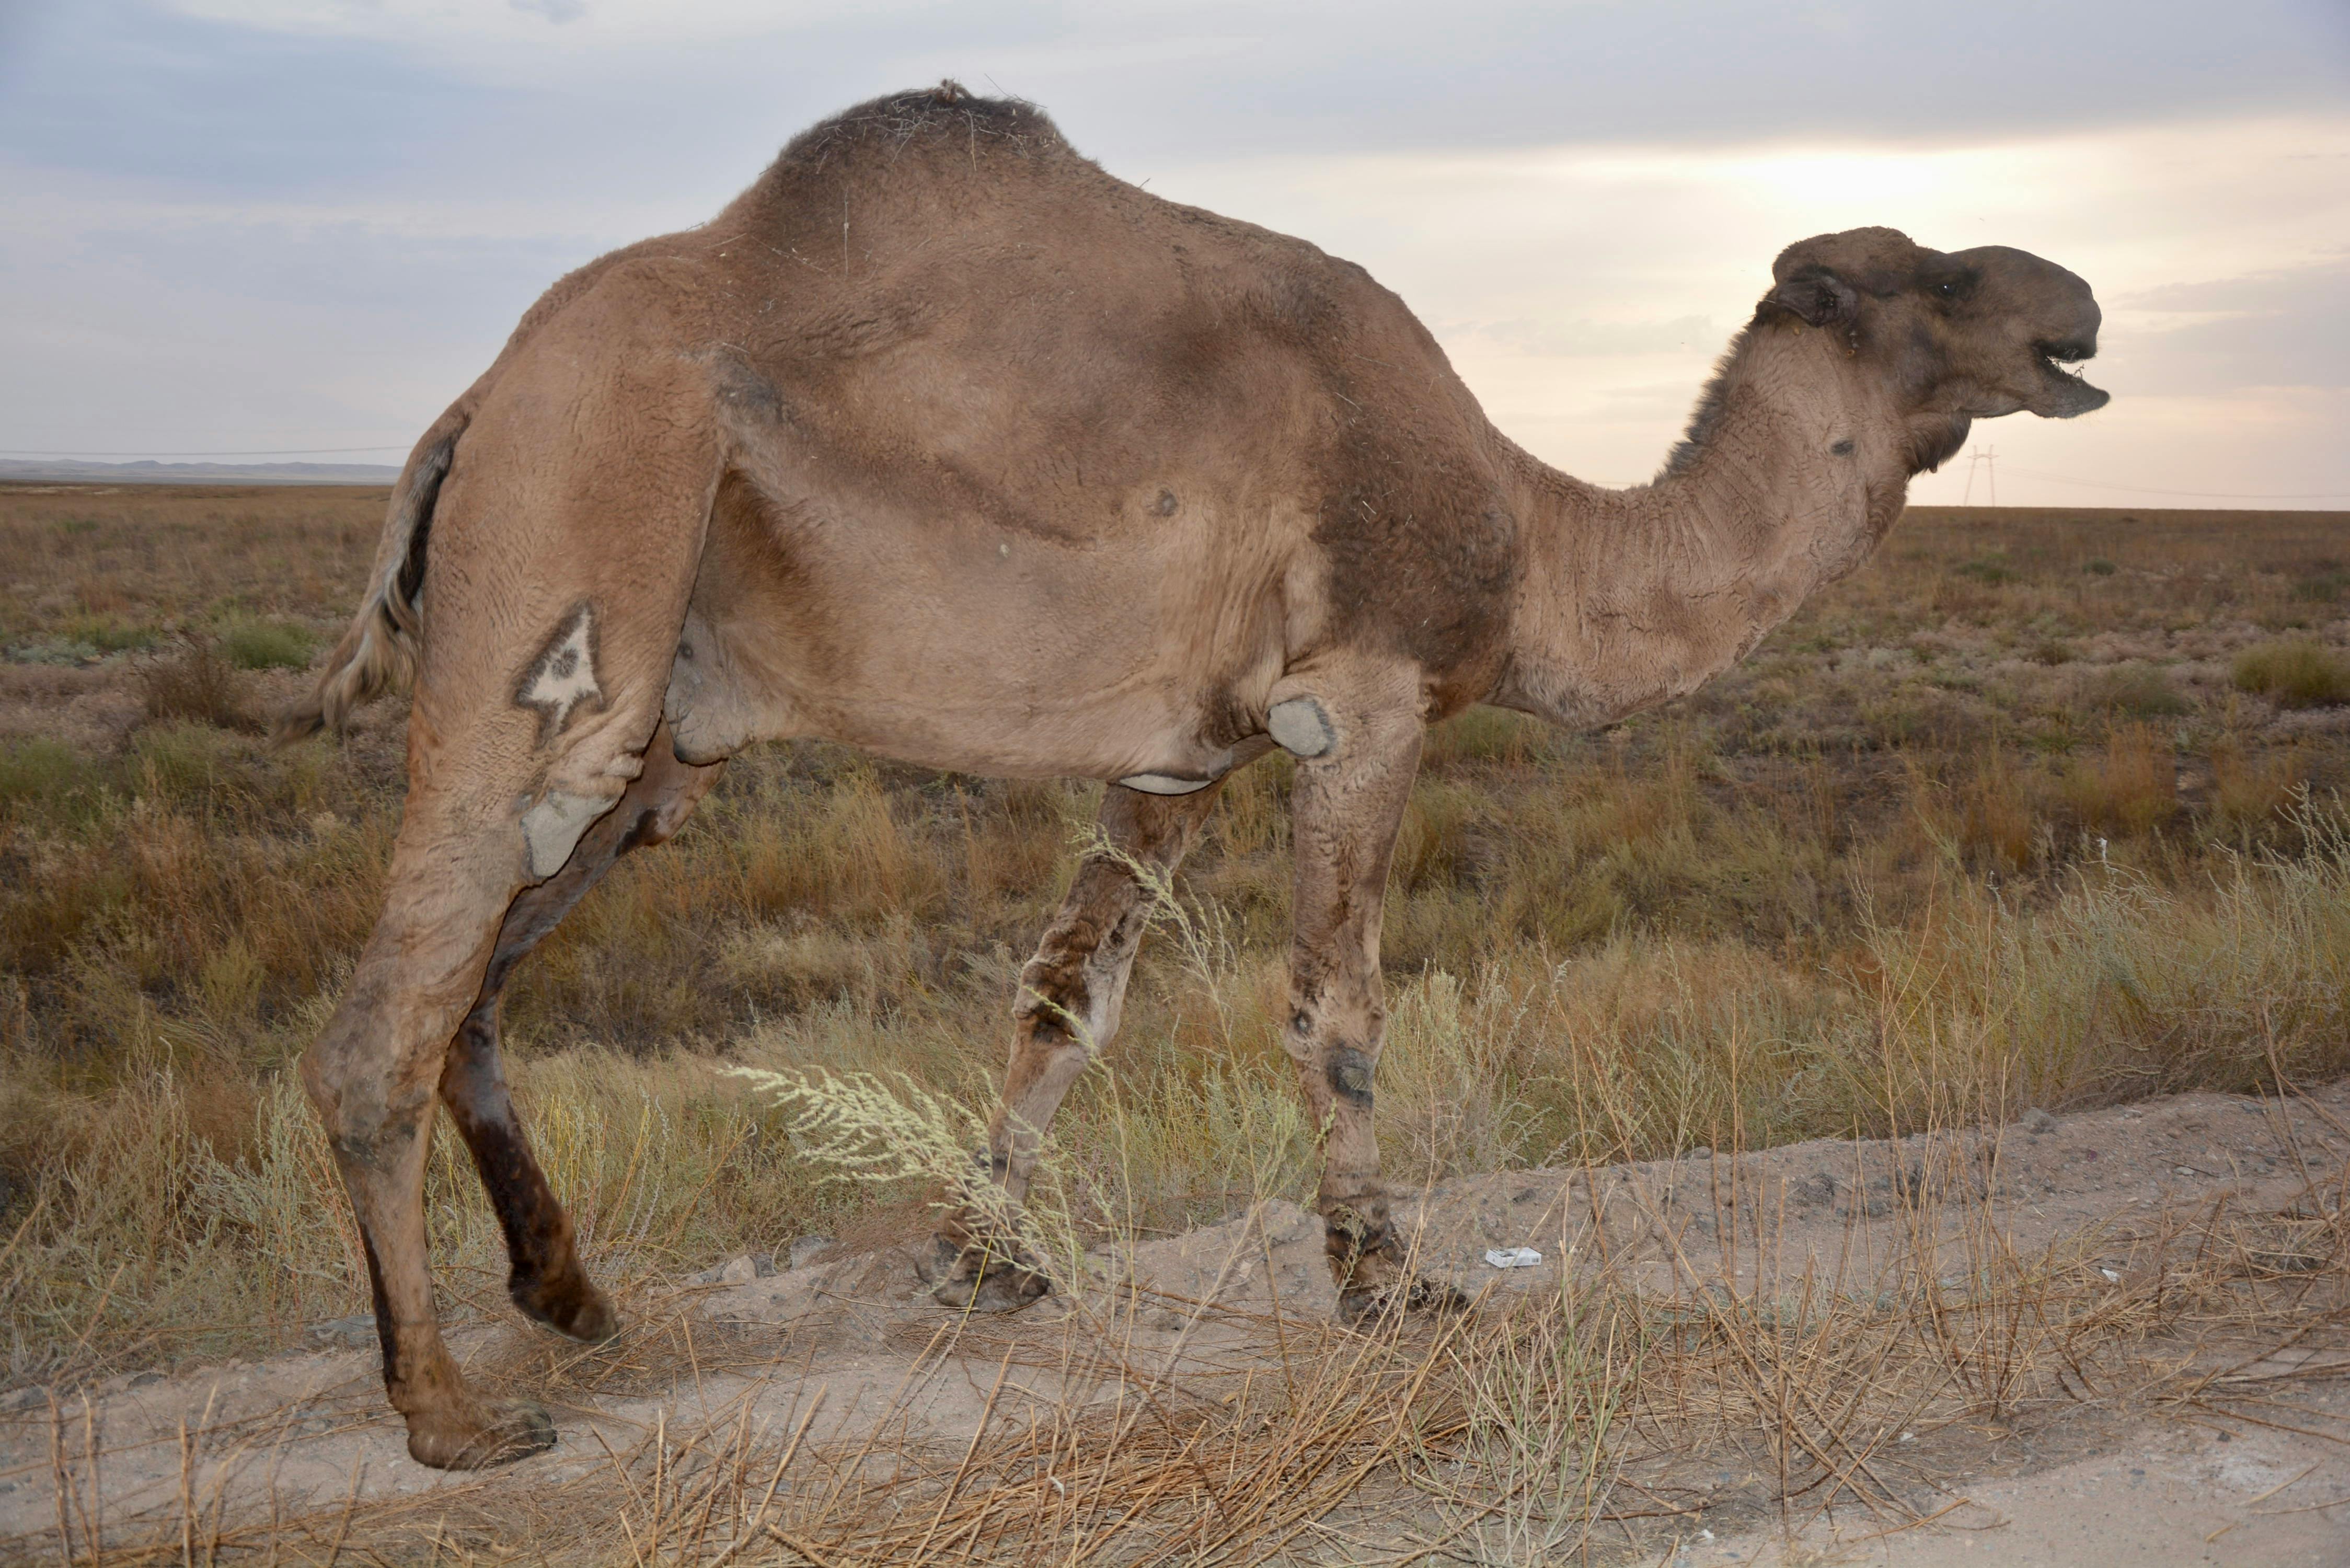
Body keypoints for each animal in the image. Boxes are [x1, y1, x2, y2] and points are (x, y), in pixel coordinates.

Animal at [281, 83, 2108, 1469]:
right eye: (1937, 277)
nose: (2081, 303)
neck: (1539, 545)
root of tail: (473, 405)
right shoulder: (1364, 700)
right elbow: (1339, 1008)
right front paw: (1388, 1284)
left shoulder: (1182, 760)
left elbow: (1064, 1000)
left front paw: (981, 1259)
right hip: (581, 540)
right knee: (379, 1023)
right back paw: (448, 1411)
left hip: (662, 738)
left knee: (477, 985)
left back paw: (571, 1296)